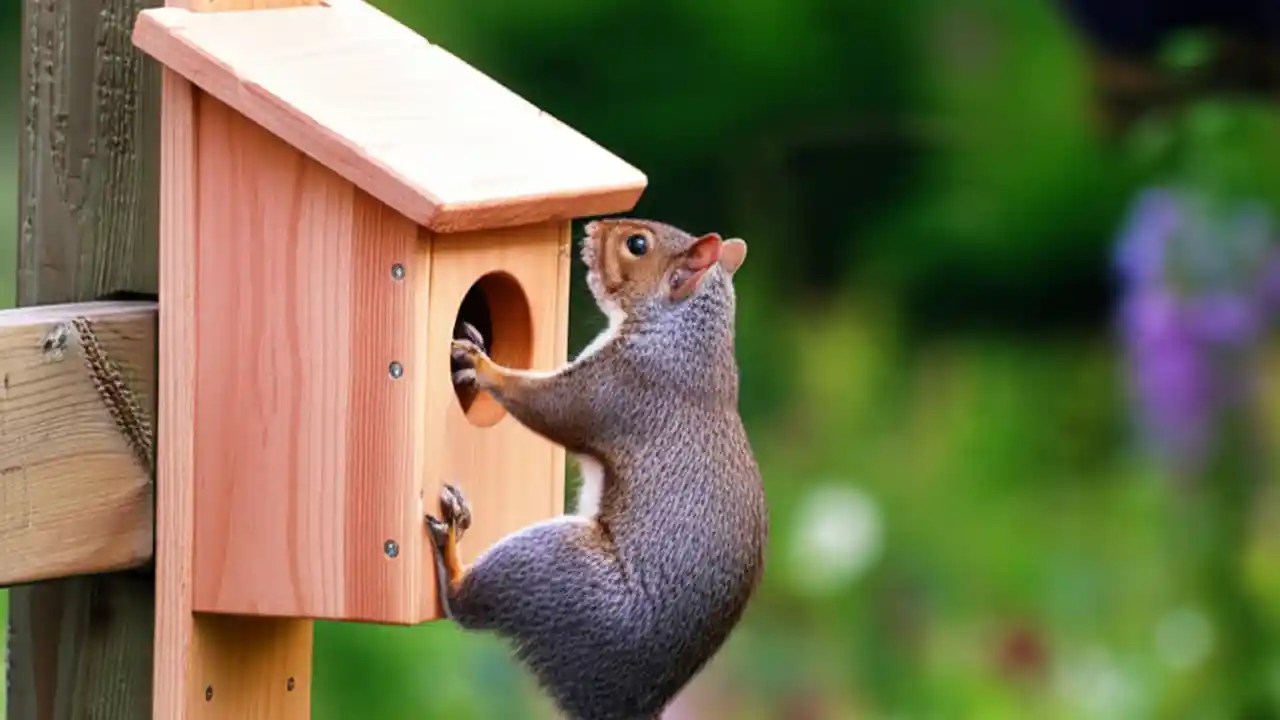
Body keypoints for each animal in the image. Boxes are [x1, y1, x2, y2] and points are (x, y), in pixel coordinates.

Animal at [428, 218, 768, 720]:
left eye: (637, 244)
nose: (590, 228)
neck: (682, 331)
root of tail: (619, 700)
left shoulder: (621, 388)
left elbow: (551, 407)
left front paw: (484, 365)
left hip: (559, 568)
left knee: (465, 605)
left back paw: (452, 543)